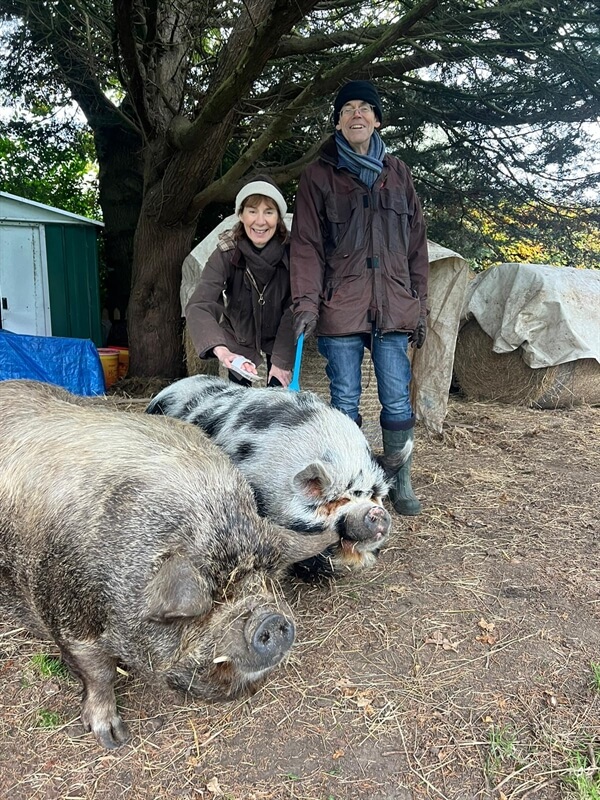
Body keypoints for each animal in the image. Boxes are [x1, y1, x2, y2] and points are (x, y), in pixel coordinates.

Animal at [0, 379, 337, 749]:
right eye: (212, 598)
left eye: (265, 579)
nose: (271, 619)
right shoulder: (68, 616)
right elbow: (99, 672)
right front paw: (113, 739)